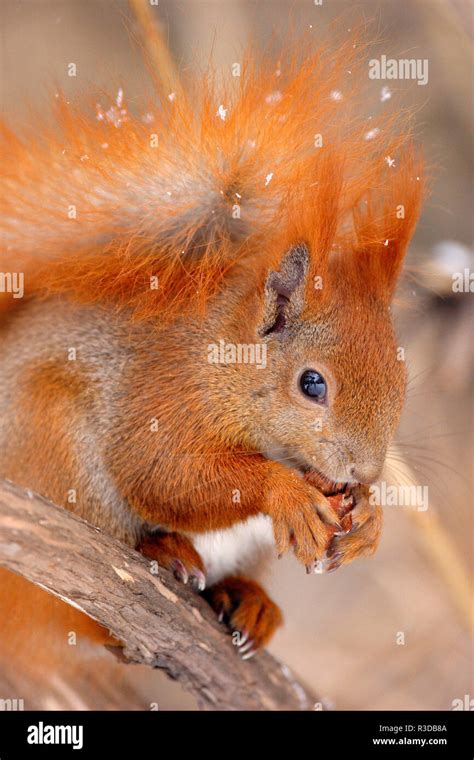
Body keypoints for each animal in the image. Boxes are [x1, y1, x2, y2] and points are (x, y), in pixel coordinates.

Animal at [0, 30, 423, 674]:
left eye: (403, 385)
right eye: (312, 383)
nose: (363, 471)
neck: (227, 364)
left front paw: (371, 516)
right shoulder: (164, 398)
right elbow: (166, 473)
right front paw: (284, 493)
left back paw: (252, 603)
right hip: (52, 450)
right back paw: (162, 550)